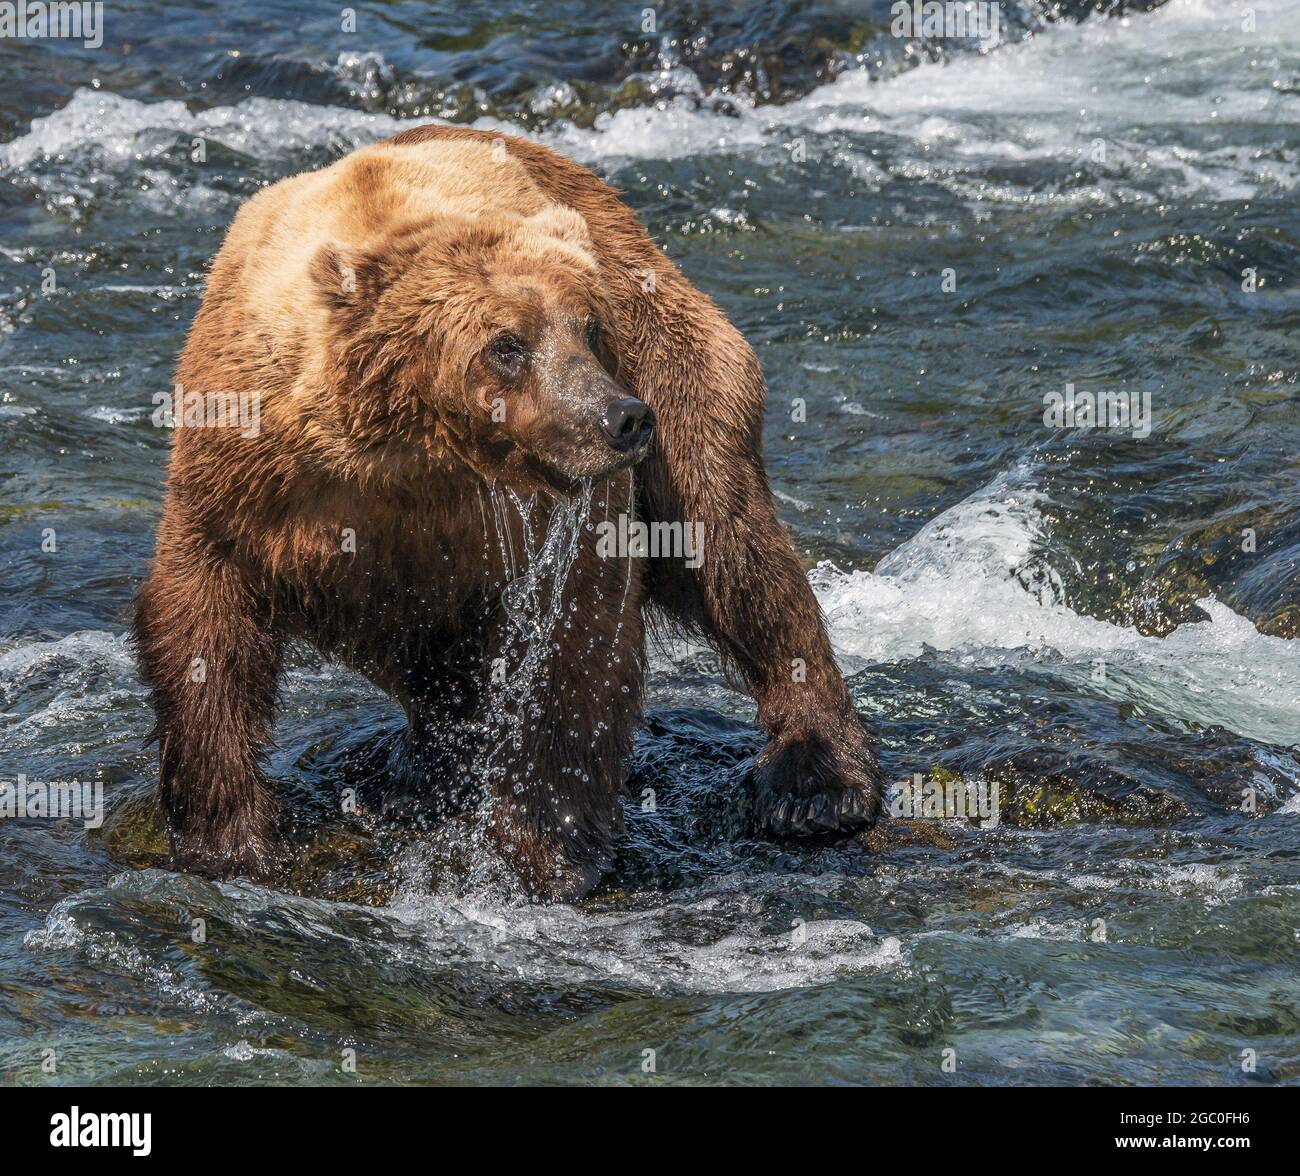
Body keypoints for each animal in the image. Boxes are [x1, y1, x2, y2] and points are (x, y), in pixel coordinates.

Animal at [133, 125, 883, 901]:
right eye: (507, 344)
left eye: (589, 326)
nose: (621, 418)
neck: (411, 455)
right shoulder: (247, 472)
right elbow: (203, 626)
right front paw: (228, 836)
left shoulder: (552, 519)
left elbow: (578, 639)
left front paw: (548, 851)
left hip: (680, 369)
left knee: (734, 547)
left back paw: (815, 780)